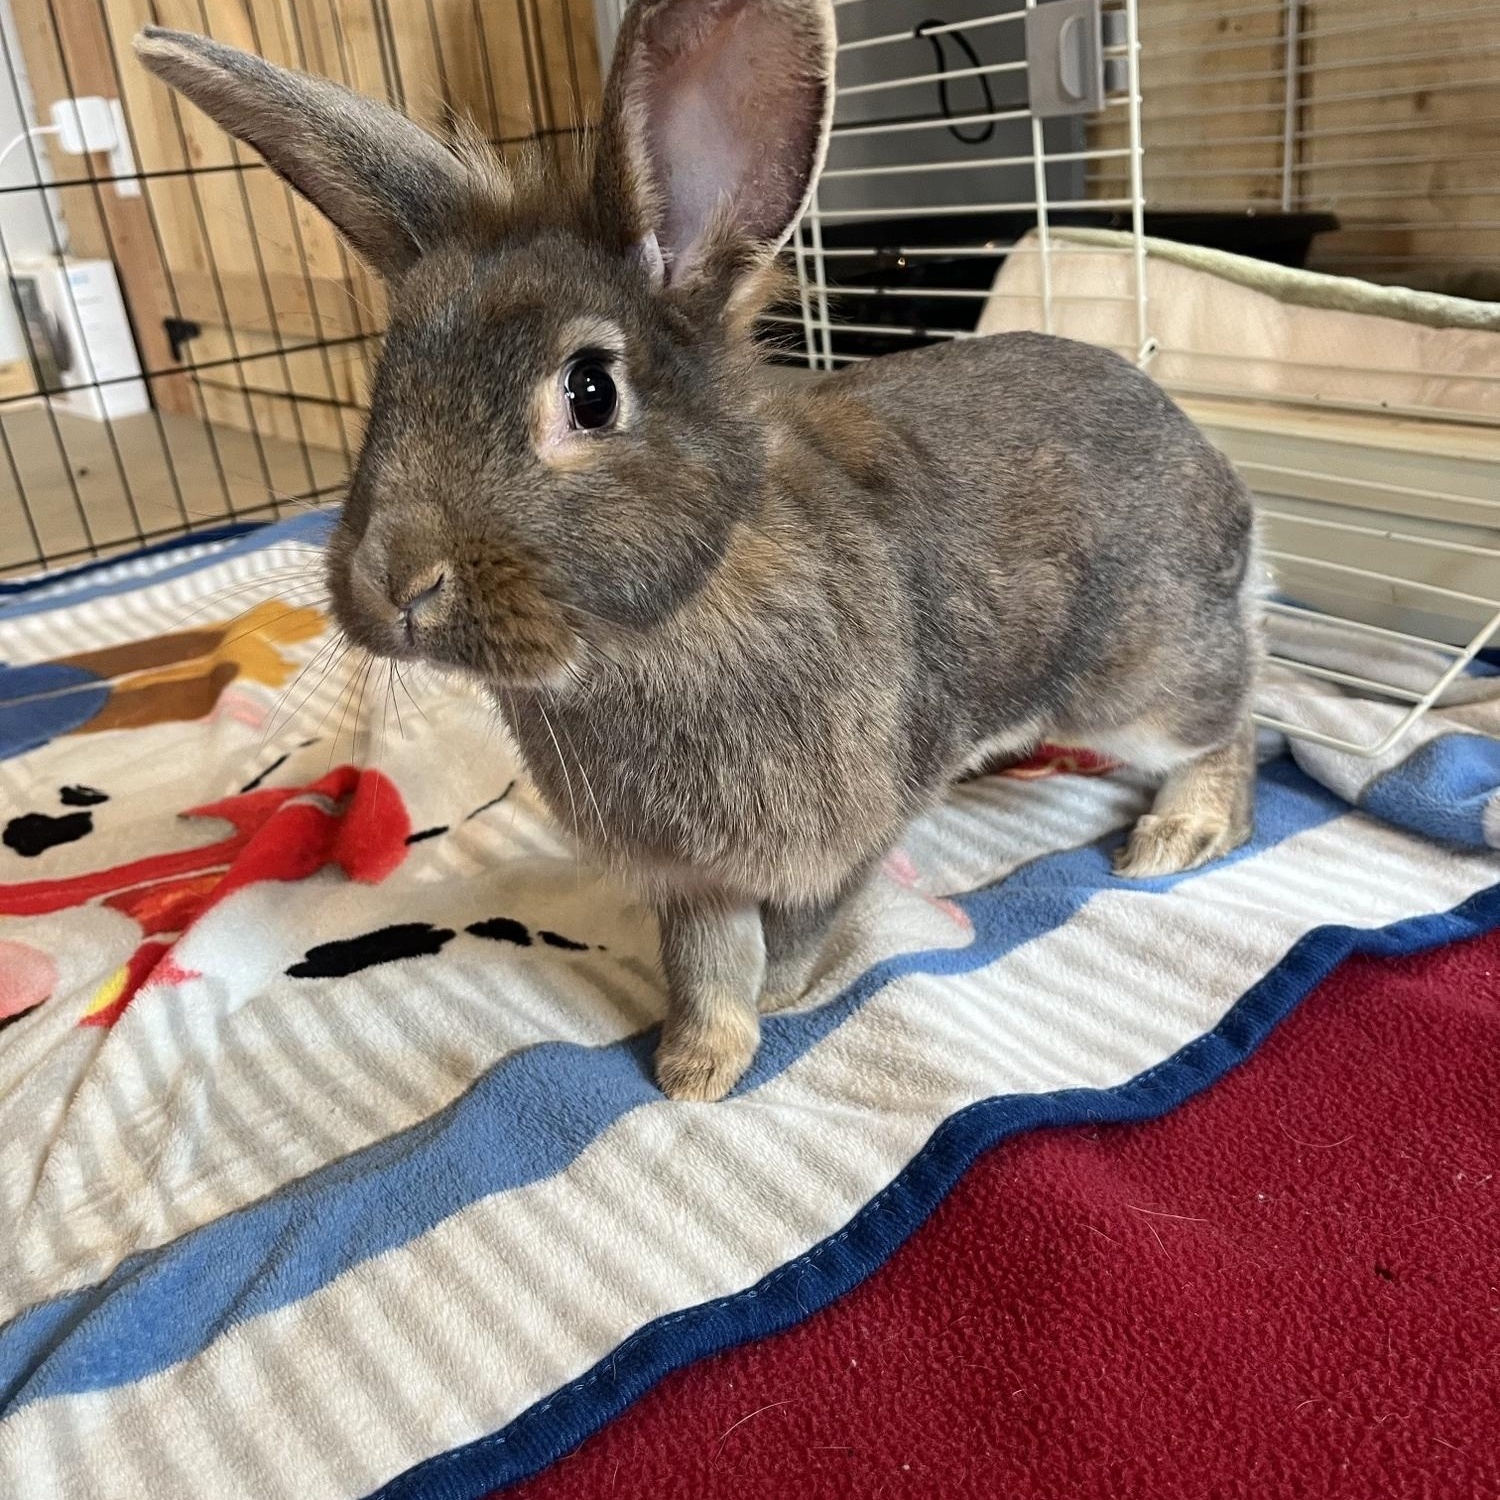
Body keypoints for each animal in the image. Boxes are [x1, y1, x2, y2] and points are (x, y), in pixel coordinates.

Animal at [137, 0, 1260, 1102]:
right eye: (384, 391)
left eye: (591, 392)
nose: (393, 582)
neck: (669, 616)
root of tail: (1221, 476)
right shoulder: (691, 879)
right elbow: (707, 962)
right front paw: (698, 1068)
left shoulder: (838, 840)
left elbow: (798, 931)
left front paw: (784, 1001)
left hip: (1135, 680)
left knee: (1228, 723)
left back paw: (1181, 835)